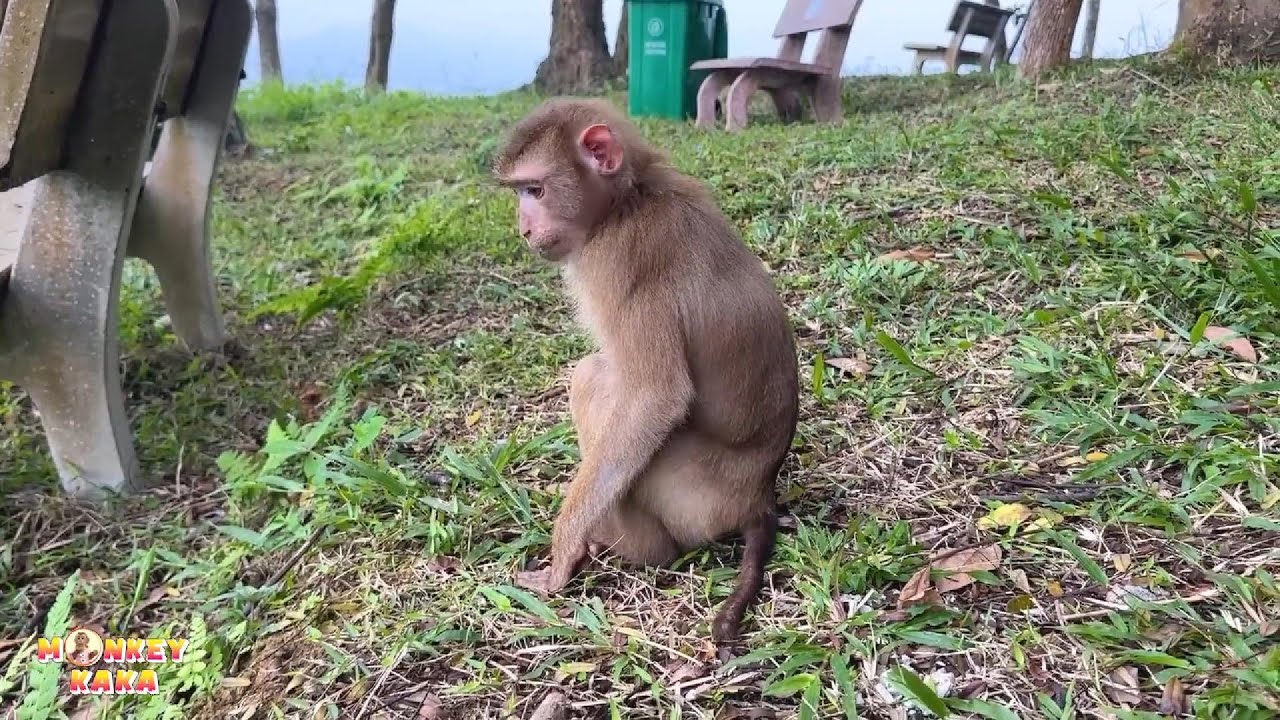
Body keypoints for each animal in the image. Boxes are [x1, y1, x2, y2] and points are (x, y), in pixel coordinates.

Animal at [492, 97, 799, 643]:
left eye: (535, 190)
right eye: (520, 192)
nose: (523, 230)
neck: (629, 198)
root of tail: (758, 497)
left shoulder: (617, 261)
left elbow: (654, 396)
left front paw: (564, 551)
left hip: (688, 494)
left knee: (593, 379)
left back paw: (635, 549)